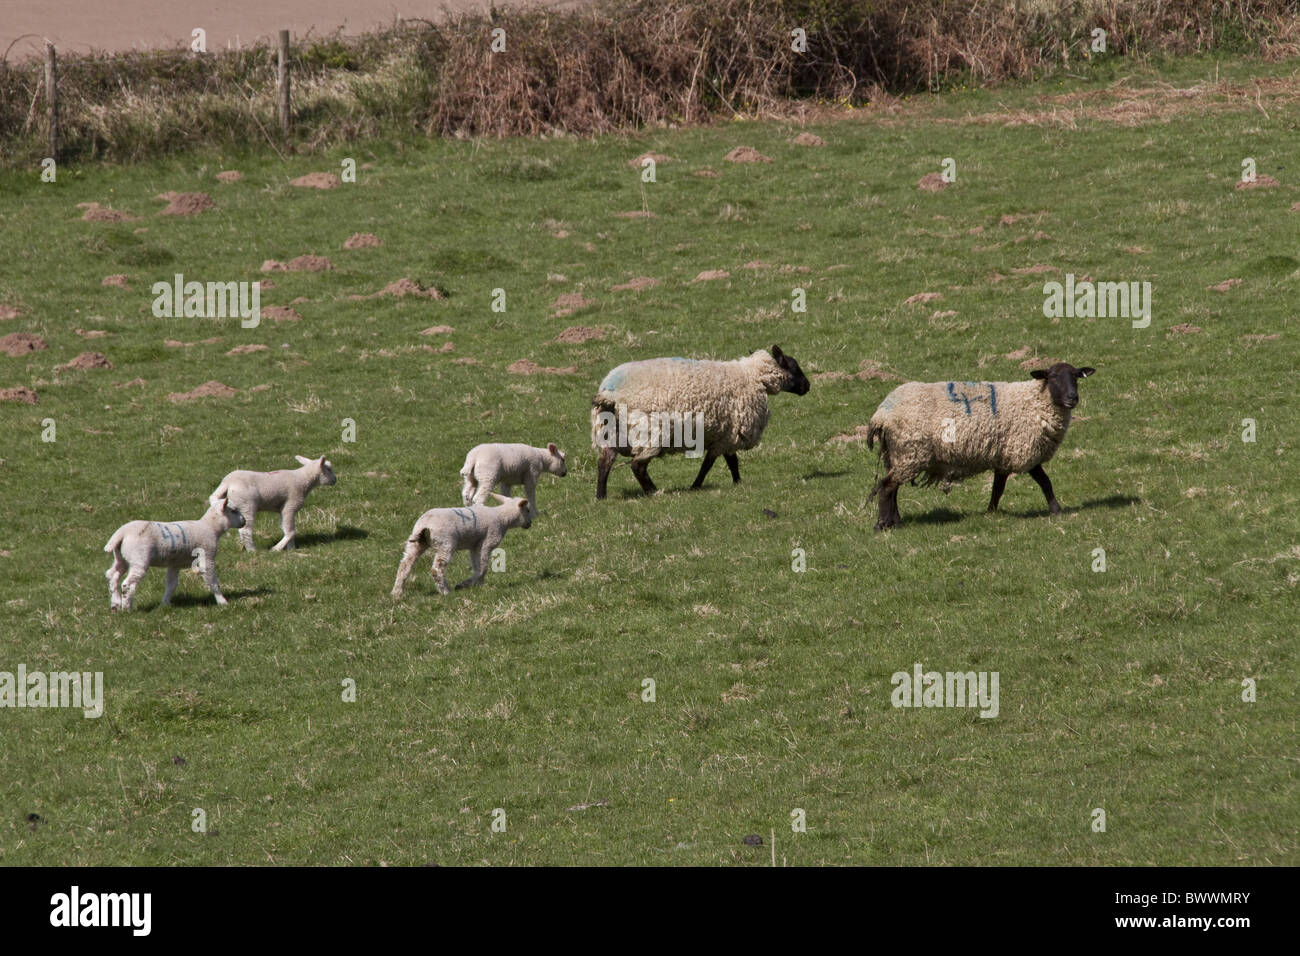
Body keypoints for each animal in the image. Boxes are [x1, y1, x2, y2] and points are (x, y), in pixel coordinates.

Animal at [104, 494, 245, 610]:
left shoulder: (175, 563)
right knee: (127, 584)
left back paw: (116, 604)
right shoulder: (207, 555)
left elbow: (171, 585)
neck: (210, 527)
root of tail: (121, 533)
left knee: (112, 575)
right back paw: (126, 608)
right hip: (139, 557)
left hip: (121, 557)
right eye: (233, 510)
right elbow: (212, 581)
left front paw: (164, 604)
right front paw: (222, 602)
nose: (244, 521)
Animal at [391, 493, 533, 598]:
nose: (530, 524)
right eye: (527, 510)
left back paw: (396, 593)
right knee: (437, 569)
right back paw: (445, 592)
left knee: (405, 565)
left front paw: (478, 584)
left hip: (417, 543)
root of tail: (425, 524)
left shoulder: (474, 546)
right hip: (446, 543)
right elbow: (483, 567)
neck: (502, 517)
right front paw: (466, 584)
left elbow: (478, 567)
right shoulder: (487, 542)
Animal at [591, 345, 810, 498]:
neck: (753, 376)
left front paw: (736, 482)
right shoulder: (729, 435)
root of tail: (609, 393)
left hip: (612, 433)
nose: (807, 386)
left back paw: (601, 496)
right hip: (650, 431)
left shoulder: (725, 434)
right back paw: (654, 491)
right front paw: (697, 485)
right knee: (637, 466)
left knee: (604, 463)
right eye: (794, 366)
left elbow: (729, 462)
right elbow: (712, 464)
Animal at [866, 362, 1095, 530]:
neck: (1035, 401)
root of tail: (882, 413)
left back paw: (896, 521)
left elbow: (998, 488)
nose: (1072, 398)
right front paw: (1057, 510)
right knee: (886, 487)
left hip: (897, 455)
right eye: (1053, 377)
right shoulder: (1023, 450)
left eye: (1076, 377)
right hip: (910, 452)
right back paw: (882, 525)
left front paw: (990, 511)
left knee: (892, 488)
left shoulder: (1003, 456)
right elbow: (1045, 482)